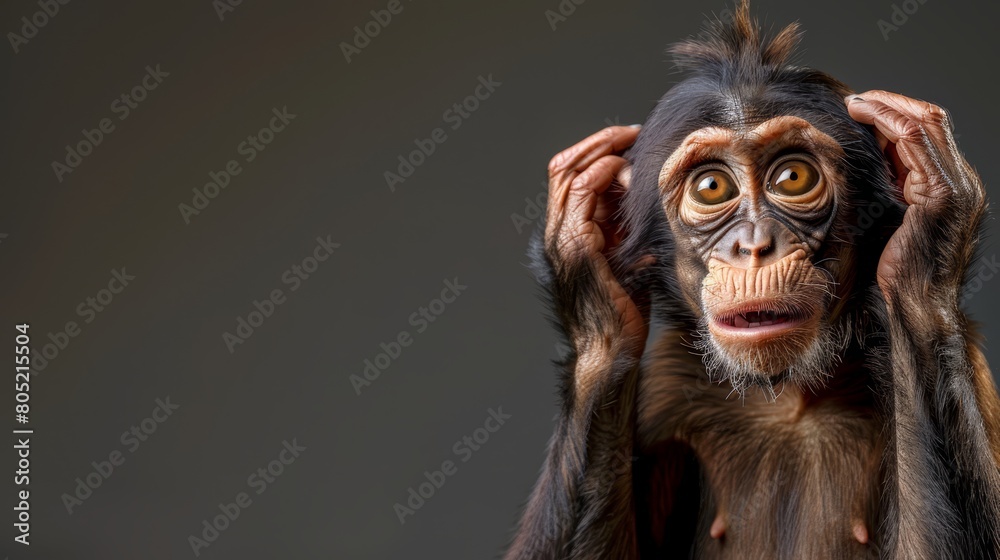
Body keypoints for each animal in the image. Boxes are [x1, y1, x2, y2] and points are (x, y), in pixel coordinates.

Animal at [505, 2, 1000, 559]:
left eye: (792, 178)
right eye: (711, 186)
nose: (755, 244)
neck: (787, 400)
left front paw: (936, 212)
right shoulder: (664, 389)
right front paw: (586, 283)